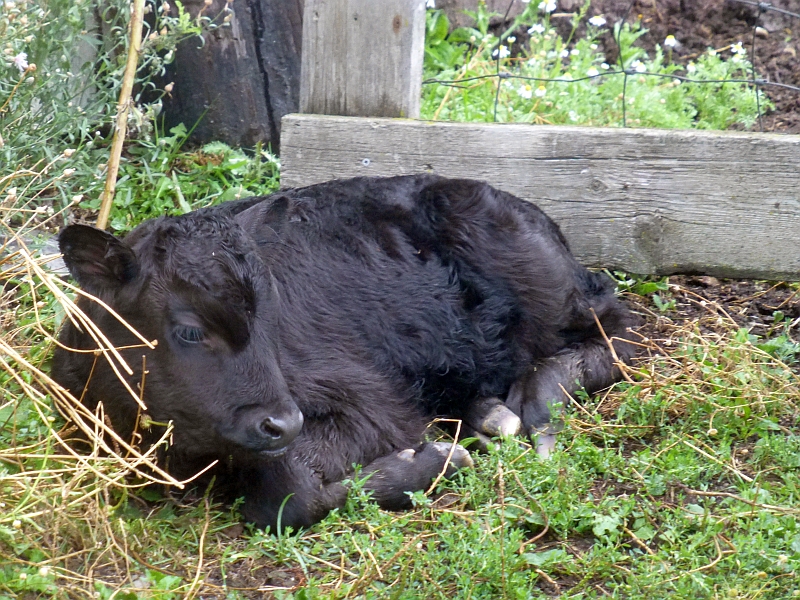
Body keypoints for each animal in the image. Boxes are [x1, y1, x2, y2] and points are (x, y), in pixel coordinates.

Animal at [51, 174, 636, 531]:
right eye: (190, 331)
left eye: (269, 316)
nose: (284, 422)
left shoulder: (368, 400)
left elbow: (286, 497)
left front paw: (431, 462)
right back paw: (490, 413)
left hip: (542, 284)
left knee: (619, 329)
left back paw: (537, 405)